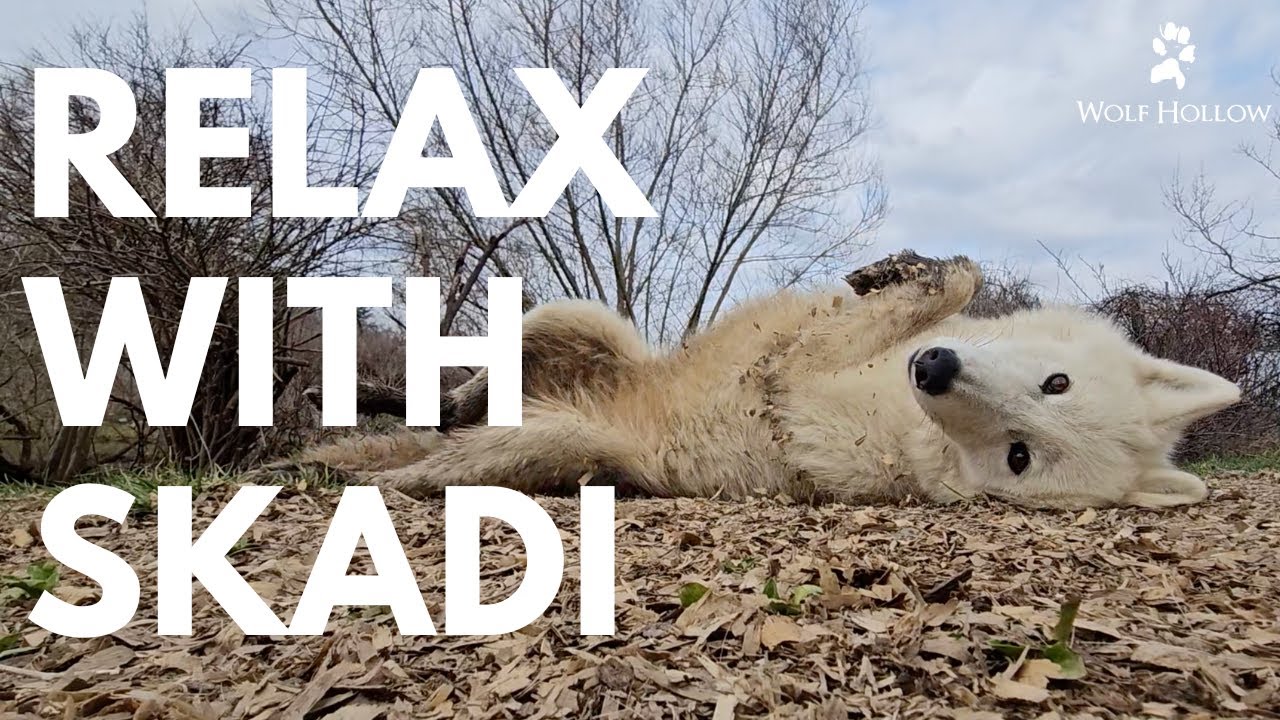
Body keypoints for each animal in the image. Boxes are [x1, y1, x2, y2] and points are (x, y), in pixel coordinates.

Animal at [295, 251, 1241, 509]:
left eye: (1021, 456)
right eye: (1055, 383)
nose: (934, 367)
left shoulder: (787, 375)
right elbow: (954, 280)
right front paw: (908, 269)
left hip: (548, 446)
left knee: (427, 466)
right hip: (579, 317)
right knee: (466, 385)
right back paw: (384, 403)